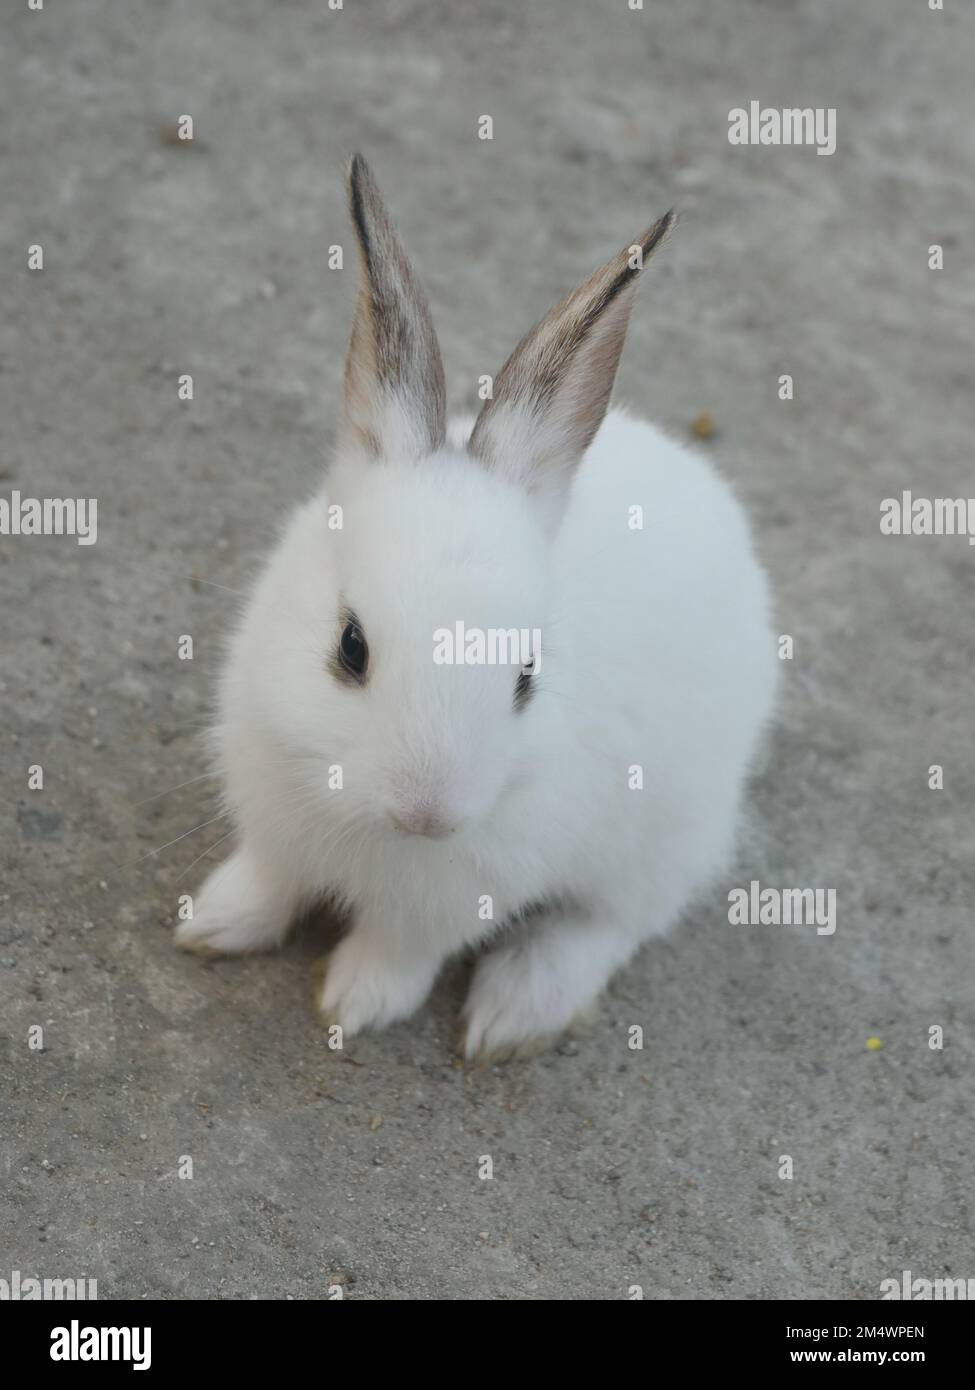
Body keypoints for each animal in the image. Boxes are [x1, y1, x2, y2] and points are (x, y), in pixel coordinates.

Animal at [175, 153, 777, 1060]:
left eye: (526, 676)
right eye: (349, 647)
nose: (429, 813)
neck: (362, 818)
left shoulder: (454, 901)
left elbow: (402, 951)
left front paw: (353, 1003)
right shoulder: (272, 813)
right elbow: (270, 879)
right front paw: (213, 924)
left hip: (664, 833)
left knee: (611, 923)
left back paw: (513, 1010)